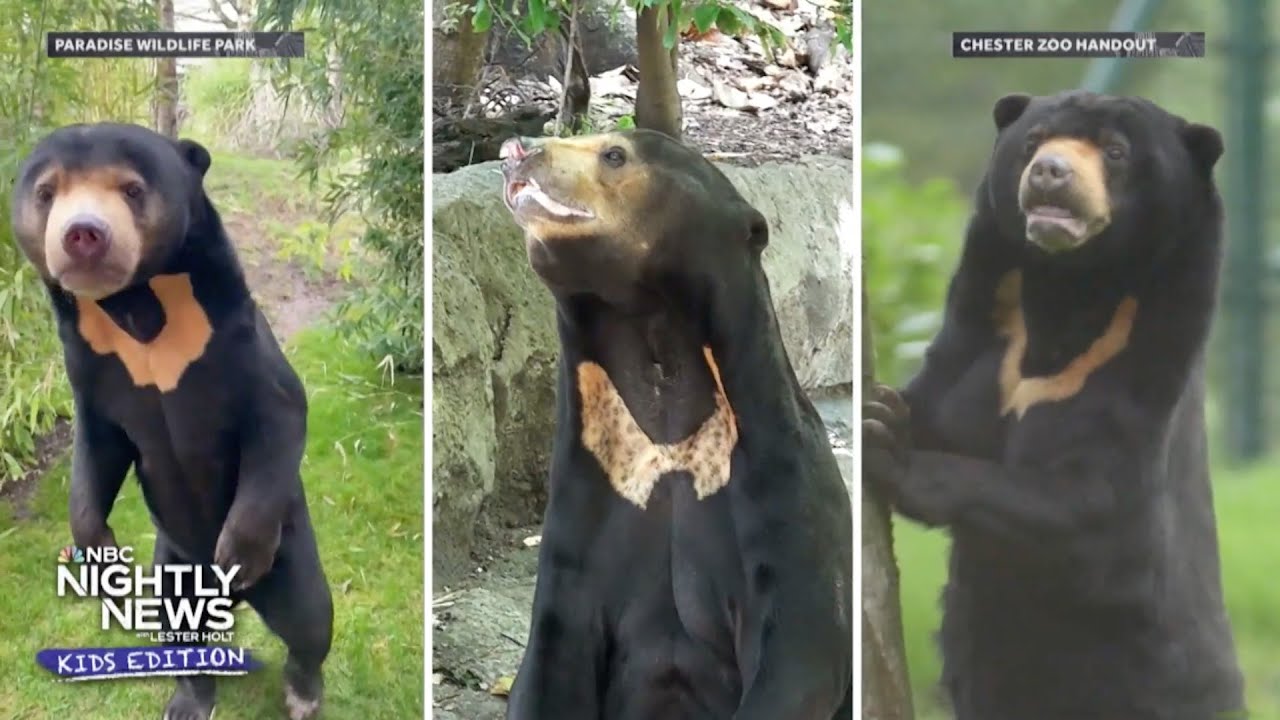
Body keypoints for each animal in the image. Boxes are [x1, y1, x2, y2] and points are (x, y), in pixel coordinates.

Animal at [10, 123, 333, 720]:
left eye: (132, 189)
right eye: (46, 193)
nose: (82, 234)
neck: (136, 307)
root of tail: (228, 600)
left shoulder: (234, 337)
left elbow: (280, 412)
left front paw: (237, 553)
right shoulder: (91, 366)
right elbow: (97, 448)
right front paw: (101, 554)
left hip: (292, 548)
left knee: (309, 615)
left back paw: (302, 693)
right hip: (174, 569)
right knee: (178, 625)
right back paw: (189, 698)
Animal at [497, 129, 853, 720]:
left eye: (614, 154)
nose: (516, 151)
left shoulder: (785, 500)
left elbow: (800, 660)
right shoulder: (585, 501)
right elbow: (549, 661)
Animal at [862, 91, 1245, 720]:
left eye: (1115, 151)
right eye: (1034, 140)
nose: (1049, 172)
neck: (1067, 288)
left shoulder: (1138, 373)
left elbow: (1093, 511)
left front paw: (888, 448)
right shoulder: (982, 338)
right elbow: (939, 410)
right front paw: (884, 411)